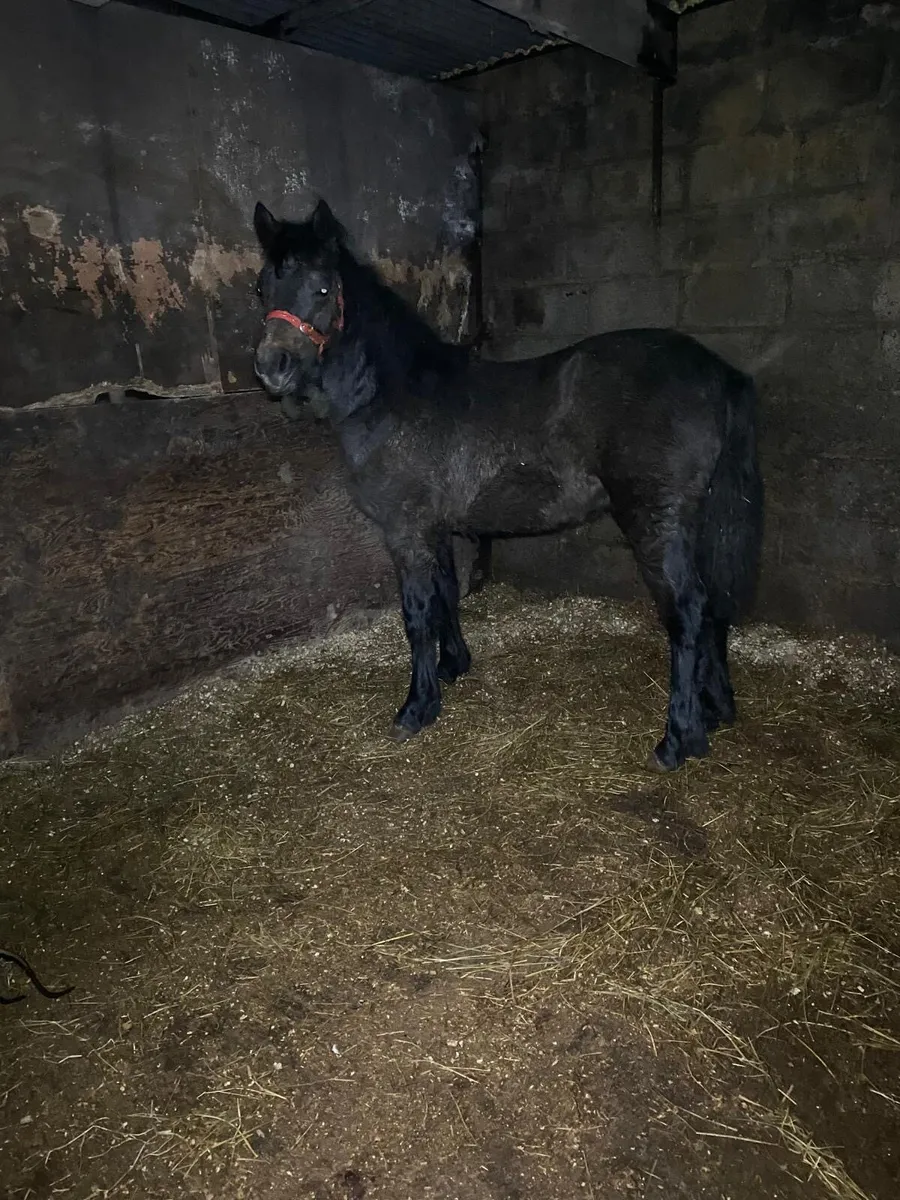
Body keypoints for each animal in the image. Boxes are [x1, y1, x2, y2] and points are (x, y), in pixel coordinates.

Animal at [251, 198, 763, 772]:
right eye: (262, 288)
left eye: (322, 288)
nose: (272, 367)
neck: (393, 394)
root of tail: (719, 373)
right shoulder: (435, 528)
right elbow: (446, 593)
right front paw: (452, 668)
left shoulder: (405, 530)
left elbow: (417, 613)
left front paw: (417, 707)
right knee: (713, 606)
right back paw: (715, 710)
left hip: (656, 522)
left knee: (688, 612)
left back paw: (678, 738)